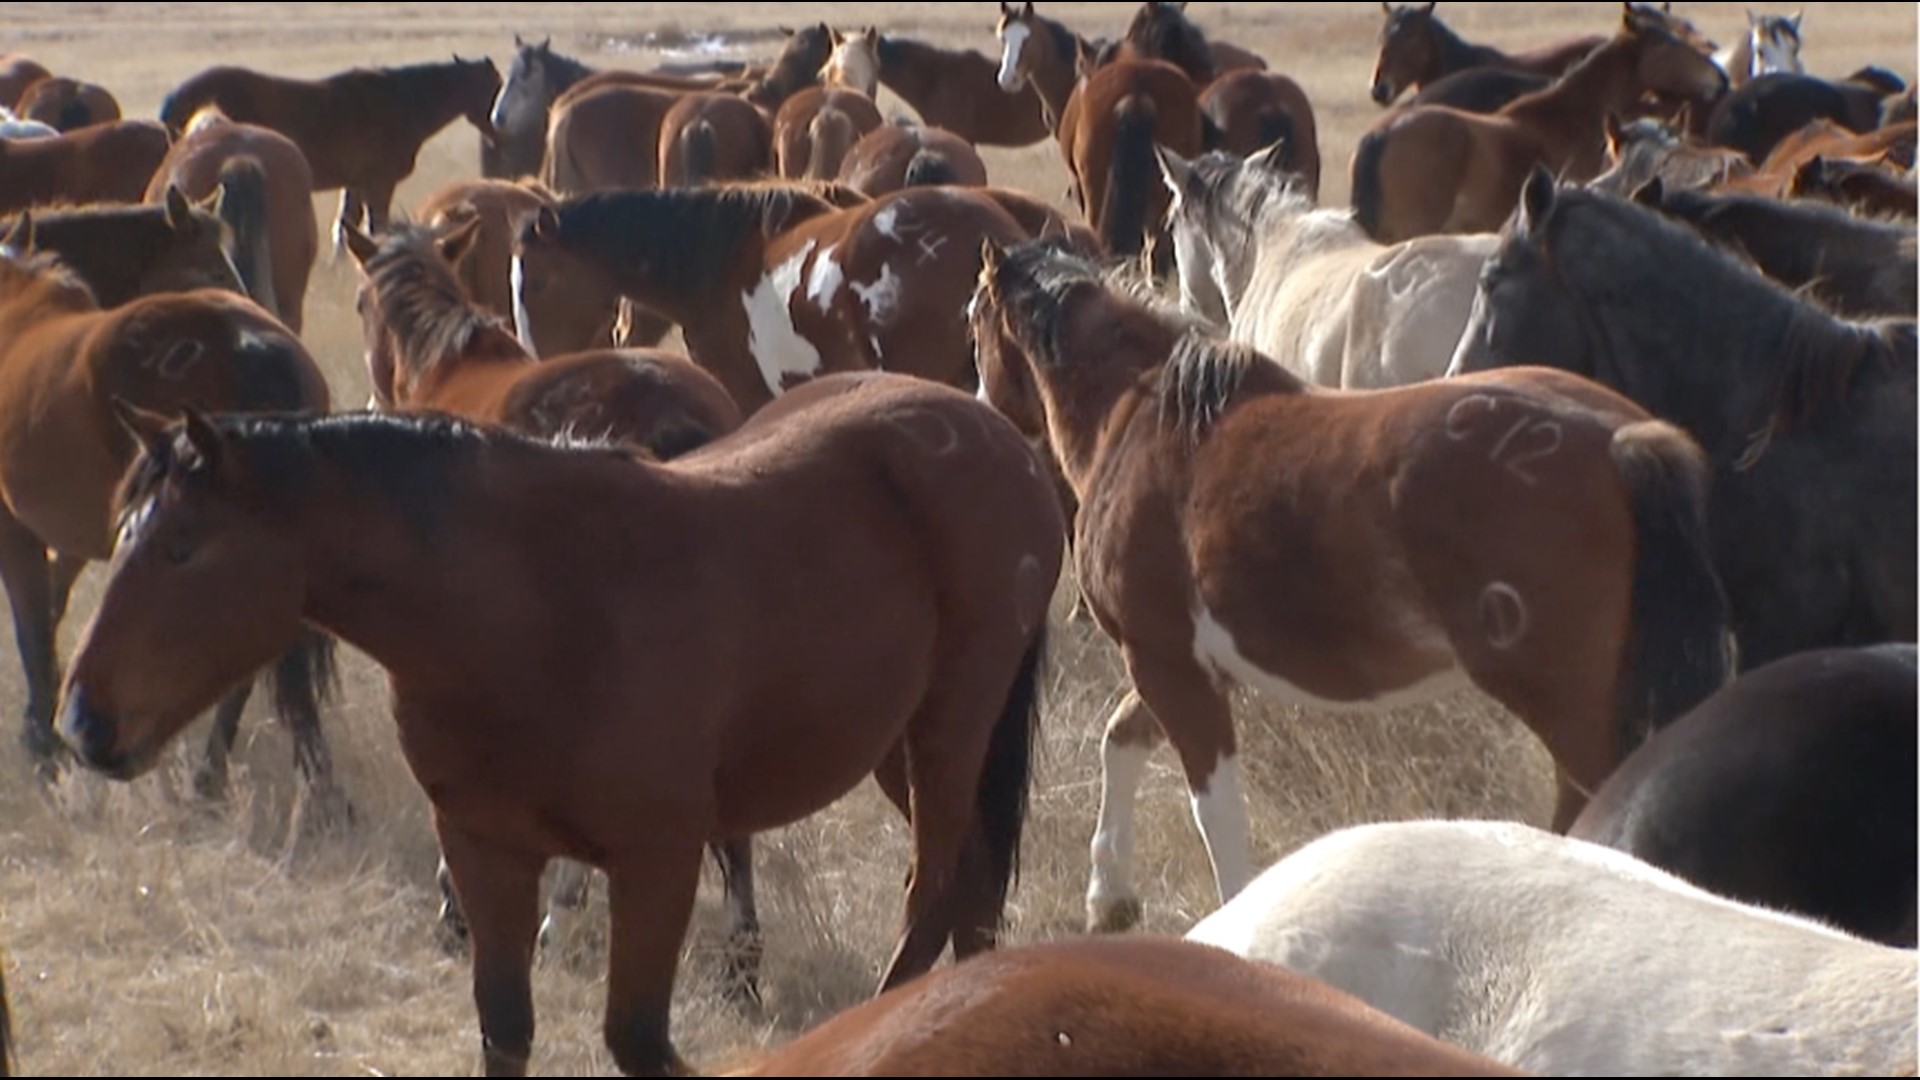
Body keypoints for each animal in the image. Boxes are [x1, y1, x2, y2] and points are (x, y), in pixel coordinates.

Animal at [60, 370, 1065, 1075]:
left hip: (951, 725)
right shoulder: (484, 850)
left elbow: (639, 1041)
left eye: (183, 548)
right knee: (972, 888)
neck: (538, 609)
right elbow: (506, 1029)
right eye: (125, 536)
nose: (82, 722)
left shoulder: (659, 858)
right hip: (900, 740)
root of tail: (1000, 439)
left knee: (935, 892)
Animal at [157, 57, 500, 246]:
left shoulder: (357, 184)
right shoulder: (379, 184)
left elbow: (346, 226)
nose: (497, 129)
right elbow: (374, 227)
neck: (401, 102)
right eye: (493, 87)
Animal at [970, 238, 1731, 932]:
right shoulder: (1185, 665)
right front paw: (1110, 899)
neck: (1142, 418)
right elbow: (1120, 740)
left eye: (973, 319)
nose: (982, 408)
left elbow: (1214, 808)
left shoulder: (1166, 663)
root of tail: (1621, 441)